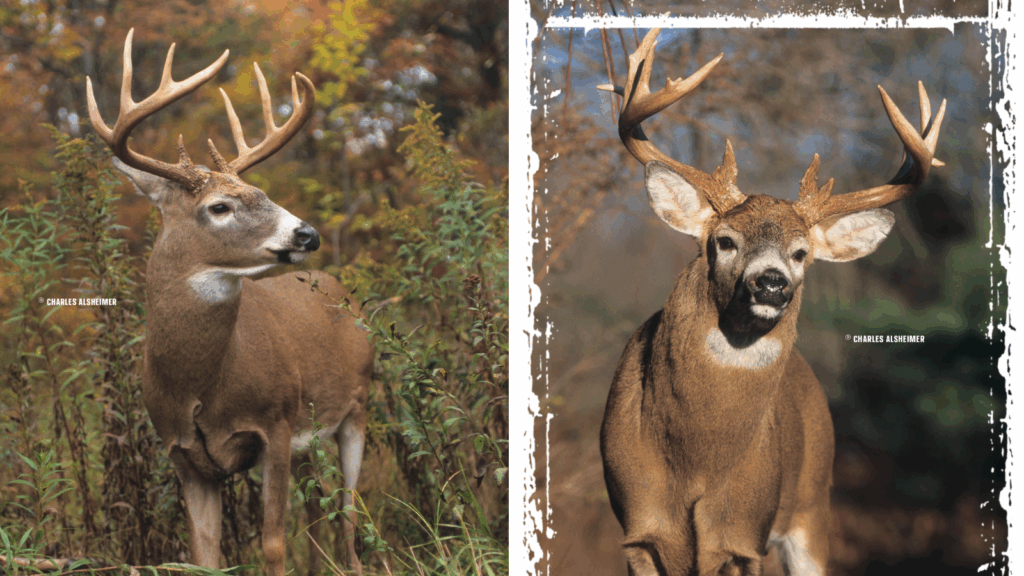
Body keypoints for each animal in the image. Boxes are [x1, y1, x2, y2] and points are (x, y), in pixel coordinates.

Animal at [85, 30, 372, 576]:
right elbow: (205, 555)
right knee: (319, 515)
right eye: (219, 207)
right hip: (313, 439)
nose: (307, 234)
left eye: (260, 190)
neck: (201, 382)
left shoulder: (276, 425)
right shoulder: (184, 455)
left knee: (349, 518)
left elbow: (273, 545)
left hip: (357, 409)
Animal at [597, 29, 945, 576]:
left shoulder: (744, 534)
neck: (697, 462)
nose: (771, 283)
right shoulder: (639, 529)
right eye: (724, 241)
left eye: (801, 253)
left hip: (812, 506)